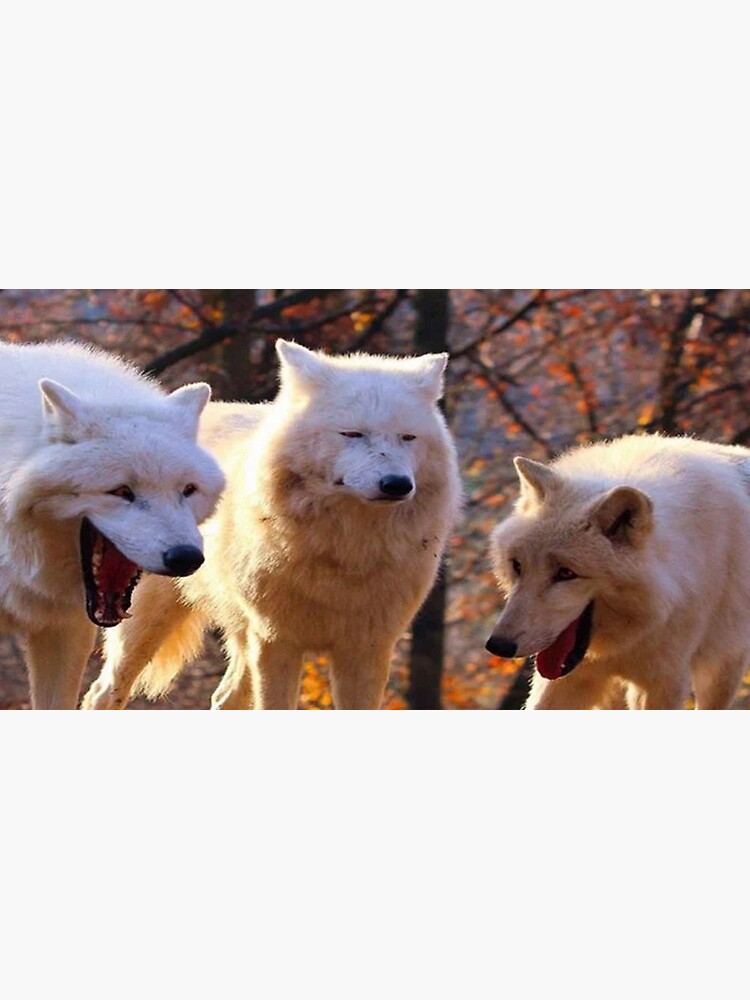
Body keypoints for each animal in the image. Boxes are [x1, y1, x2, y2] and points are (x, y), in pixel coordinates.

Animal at [82, 339, 462, 710]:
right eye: (353, 434)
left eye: (408, 437)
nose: (397, 484)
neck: (347, 552)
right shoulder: (276, 640)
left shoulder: (368, 649)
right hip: (145, 623)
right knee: (102, 693)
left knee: (223, 698)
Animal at [486, 434, 750, 710]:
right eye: (517, 566)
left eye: (566, 573)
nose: (499, 645)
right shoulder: (569, 676)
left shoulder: (665, 682)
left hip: (722, 670)